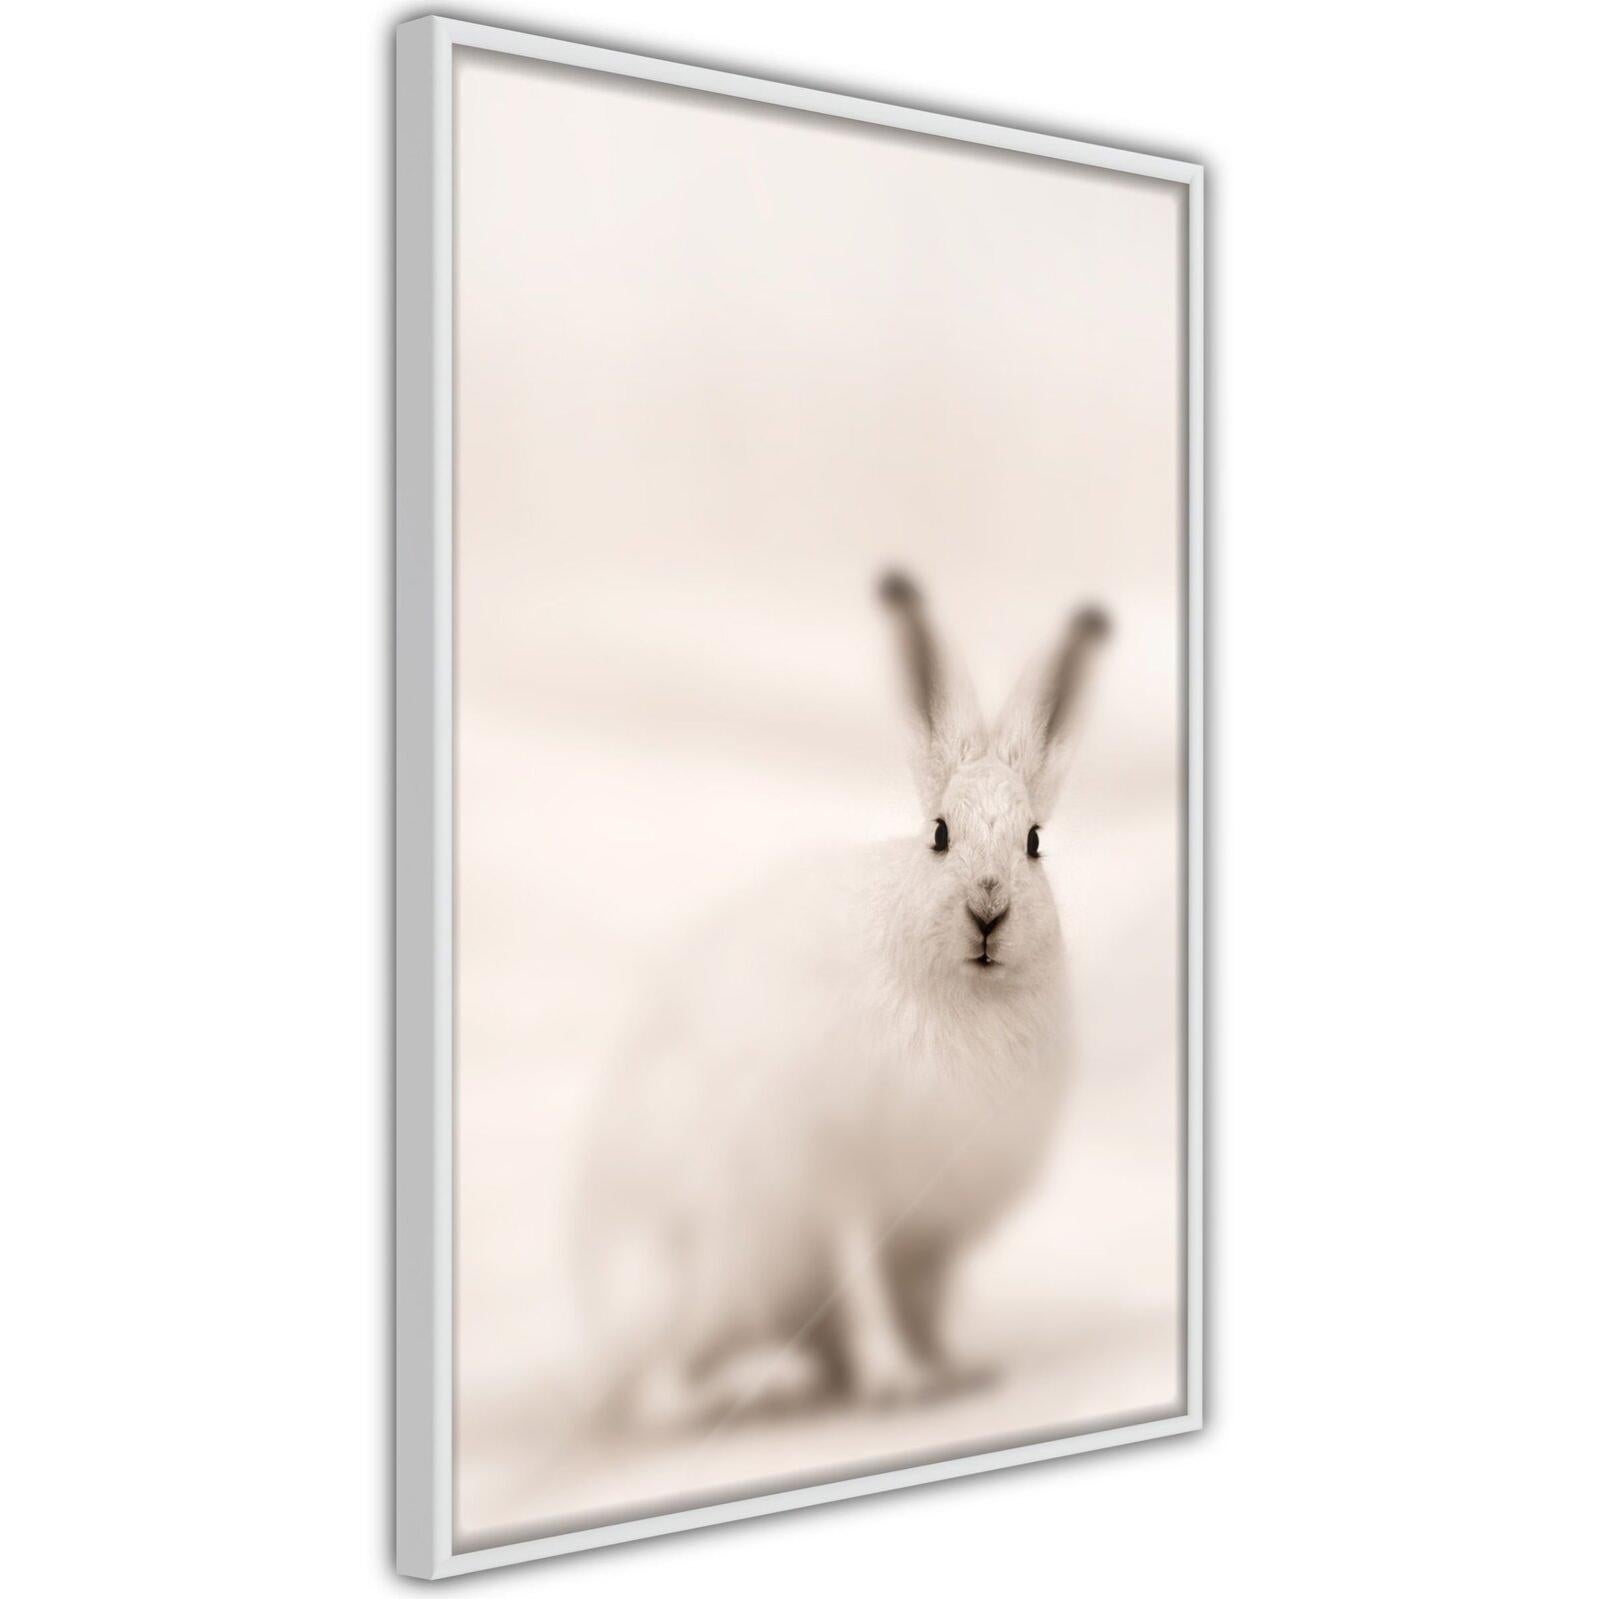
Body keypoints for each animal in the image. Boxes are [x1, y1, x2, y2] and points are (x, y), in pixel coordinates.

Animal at [572, 572, 1111, 1425]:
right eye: (938, 834)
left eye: (1032, 842)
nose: (987, 909)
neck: (962, 995)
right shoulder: (845, 1186)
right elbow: (865, 1291)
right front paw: (901, 1383)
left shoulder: (930, 1224)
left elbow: (920, 1302)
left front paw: (951, 1368)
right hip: (698, 1263)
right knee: (652, 1386)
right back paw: (728, 1397)